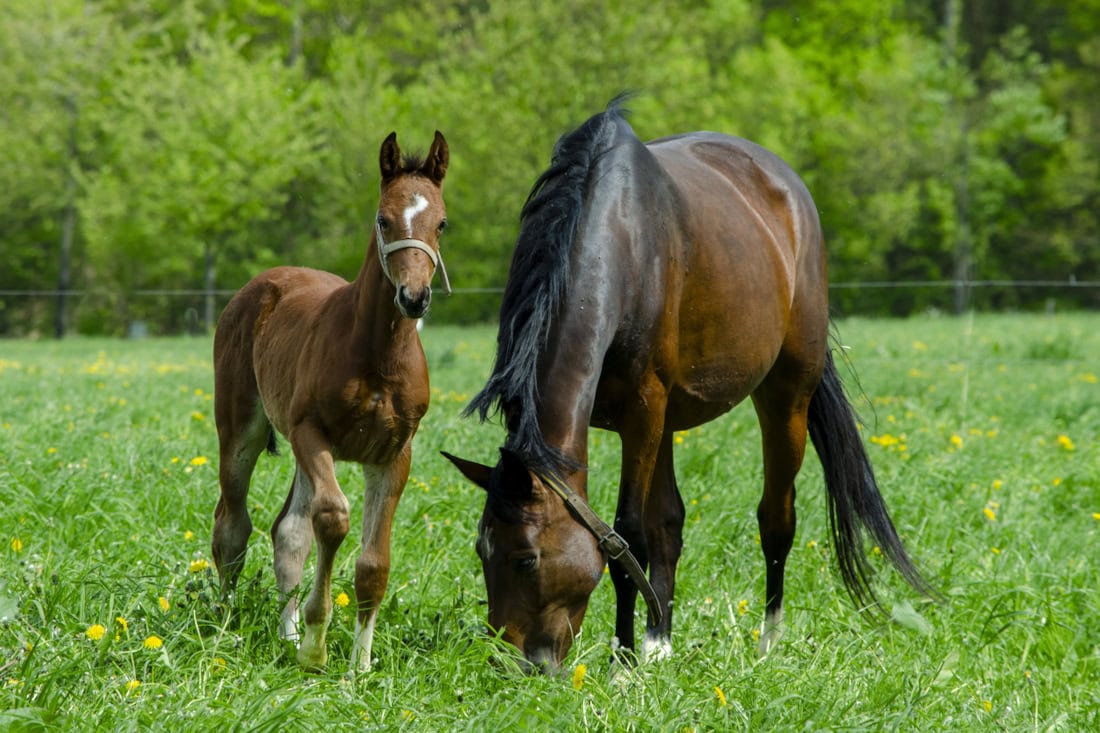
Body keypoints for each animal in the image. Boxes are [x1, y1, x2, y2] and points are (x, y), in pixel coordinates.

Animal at [212, 131, 450, 671]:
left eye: (442, 222)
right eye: (384, 218)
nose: (414, 298)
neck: (378, 357)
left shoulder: (394, 454)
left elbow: (372, 562)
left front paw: (359, 666)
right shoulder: (311, 433)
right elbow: (333, 518)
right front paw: (316, 644)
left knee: (287, 531)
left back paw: (284, 635)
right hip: (242, 430)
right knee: (233, 522)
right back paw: (226, 624)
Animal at [443, 100, 935, 673]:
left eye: (525, 558)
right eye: (482, 551)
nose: (512, 662)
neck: (621, 242)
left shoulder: (642, 412)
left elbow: (627, 536)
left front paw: (623, 663)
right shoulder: (646, 418)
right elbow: (654, 529)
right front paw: (643, 649)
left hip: (785, 396)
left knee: (777, 518)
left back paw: (767, 642)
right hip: (672, 419)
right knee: (671, 523)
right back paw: (661, 641)